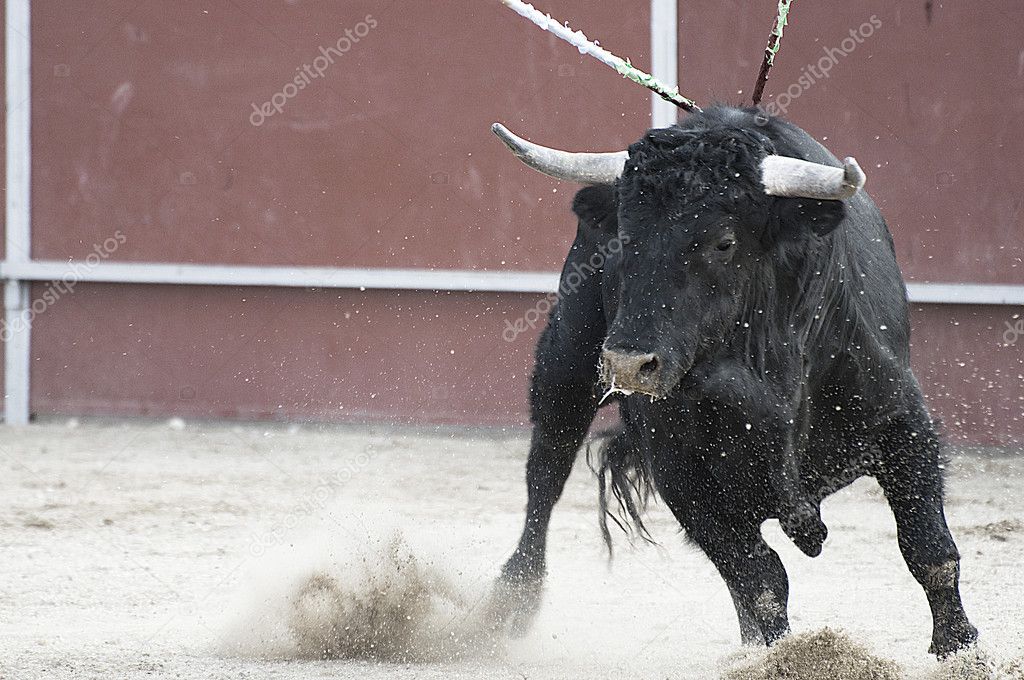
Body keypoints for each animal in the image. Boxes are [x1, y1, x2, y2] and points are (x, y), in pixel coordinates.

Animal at [487, 105, 978, 657]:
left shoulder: (903, 422)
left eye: (724, 243)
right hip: (565, 362)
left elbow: (929, 549)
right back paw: (512, 599)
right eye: (621, 241)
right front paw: (775, 657)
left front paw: (959, 650)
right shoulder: (680, 472)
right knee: (547, 471)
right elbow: (758, 577)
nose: (628, 365)